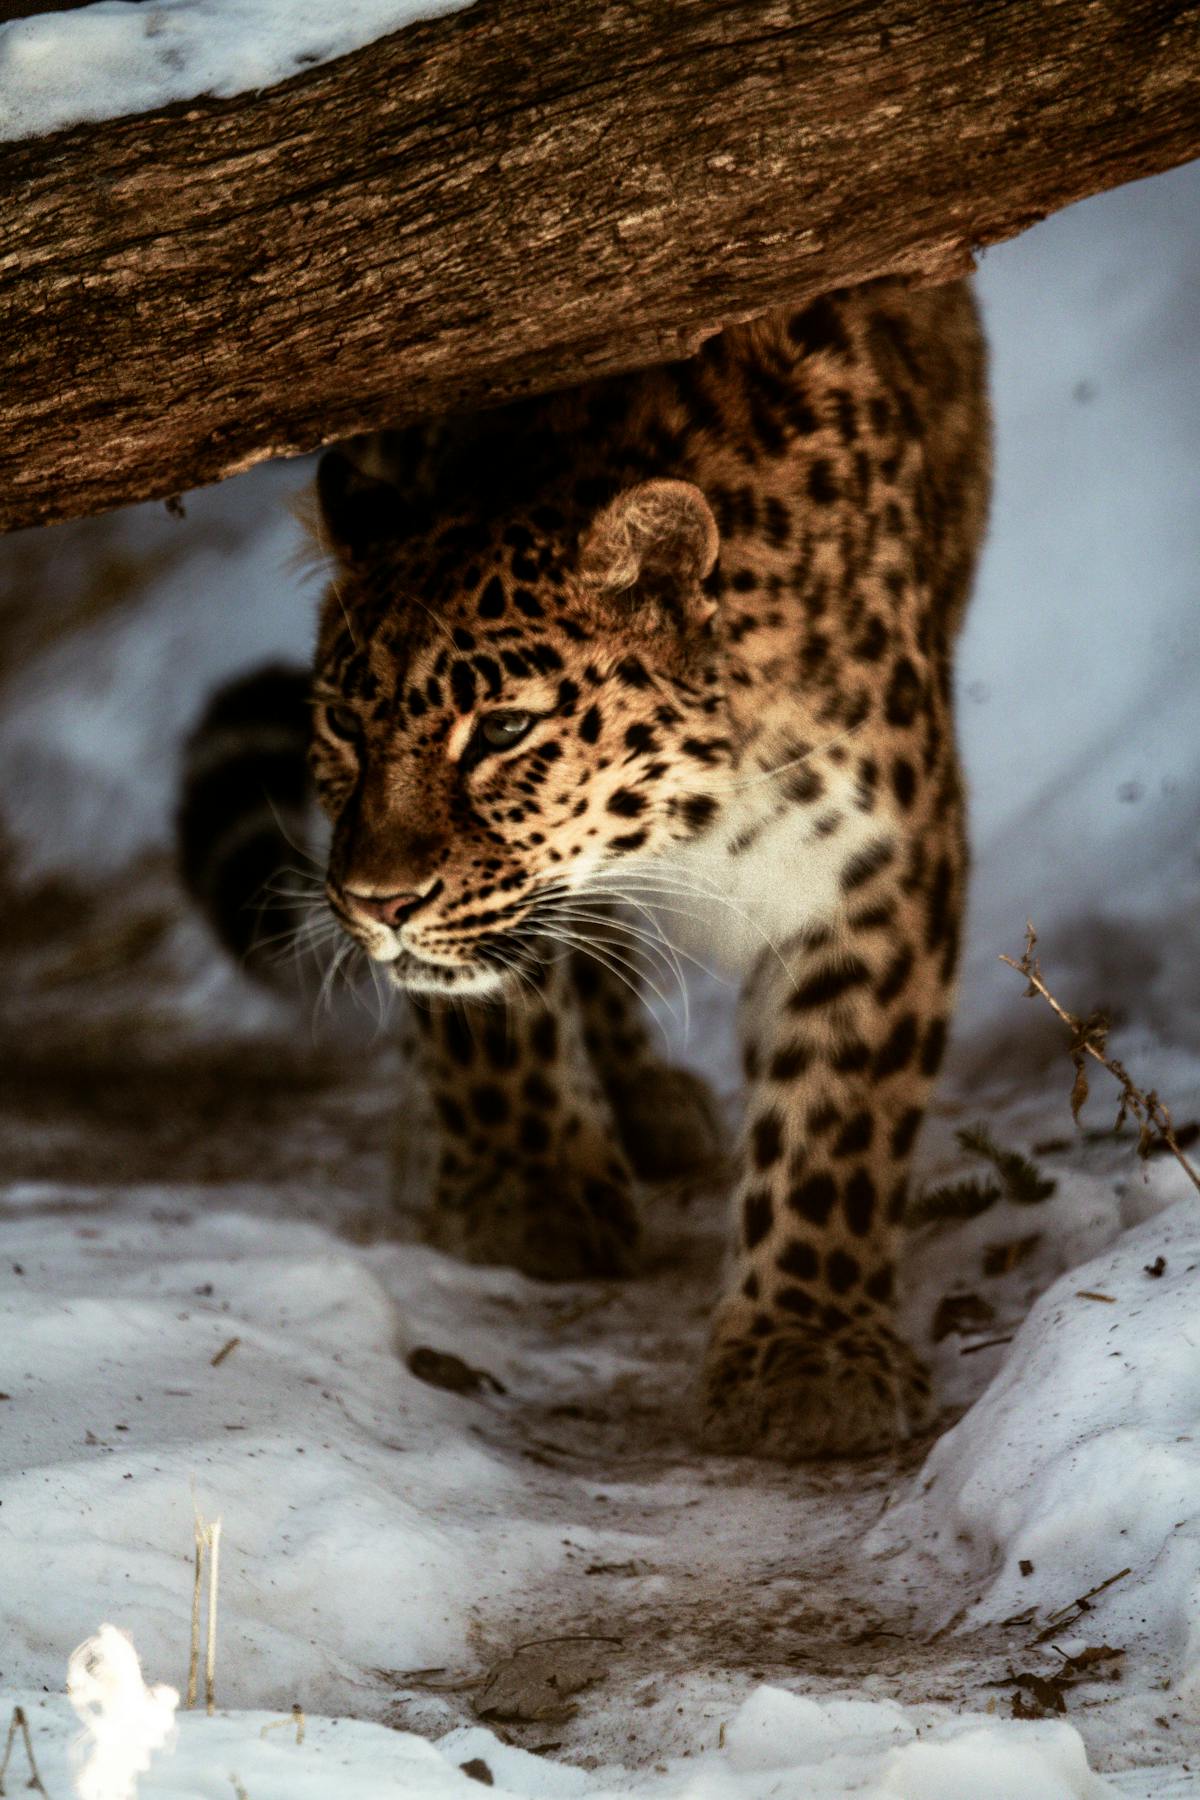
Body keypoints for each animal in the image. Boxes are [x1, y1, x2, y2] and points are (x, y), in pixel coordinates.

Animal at [179, 278, 989, 1461]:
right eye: (343, 727)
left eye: (504, 730)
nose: (375, 904)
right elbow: (486, 1006)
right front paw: (532, 1195)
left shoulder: (877, 855)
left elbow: (840, 1109)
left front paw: (809, 1353)